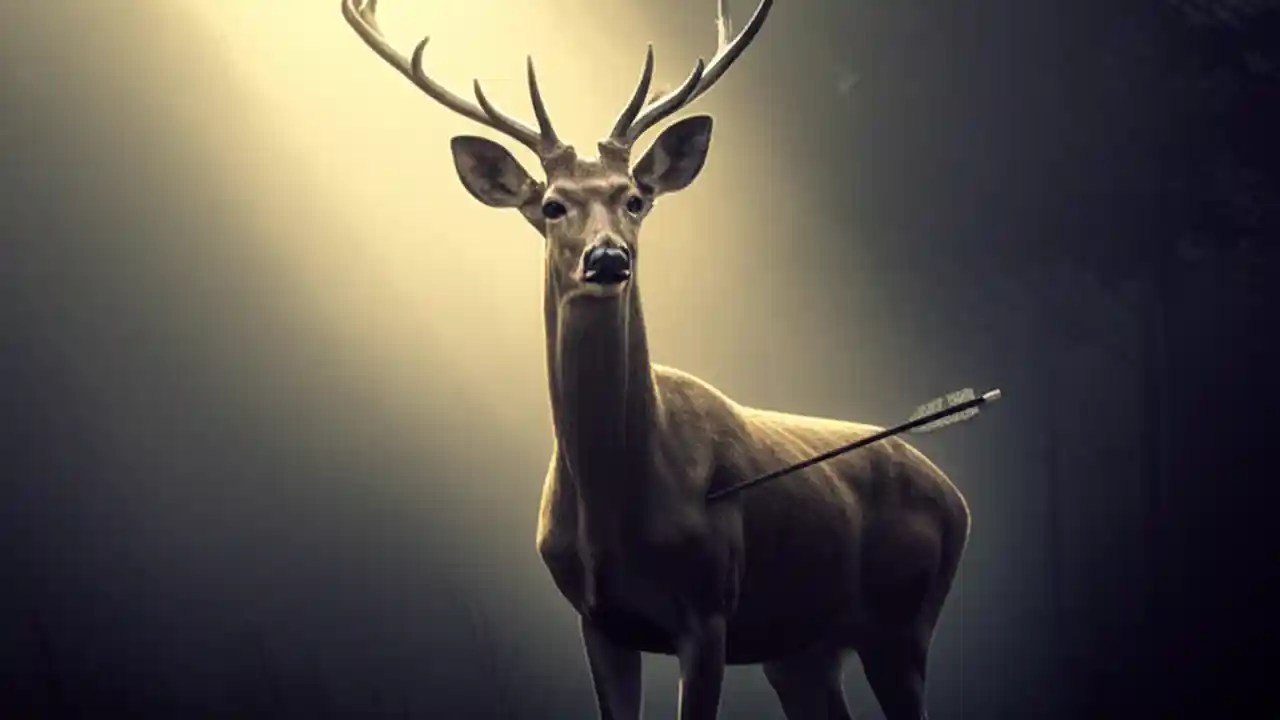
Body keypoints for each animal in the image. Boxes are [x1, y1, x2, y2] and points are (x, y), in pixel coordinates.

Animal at [341, 1, 971, 718]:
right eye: (552, 205)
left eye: (634, 199)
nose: (608, 257)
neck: (615, 509)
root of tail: (958, 499)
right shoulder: (598, 620)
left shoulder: (709, 609)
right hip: (803, 647)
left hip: (906, 619)